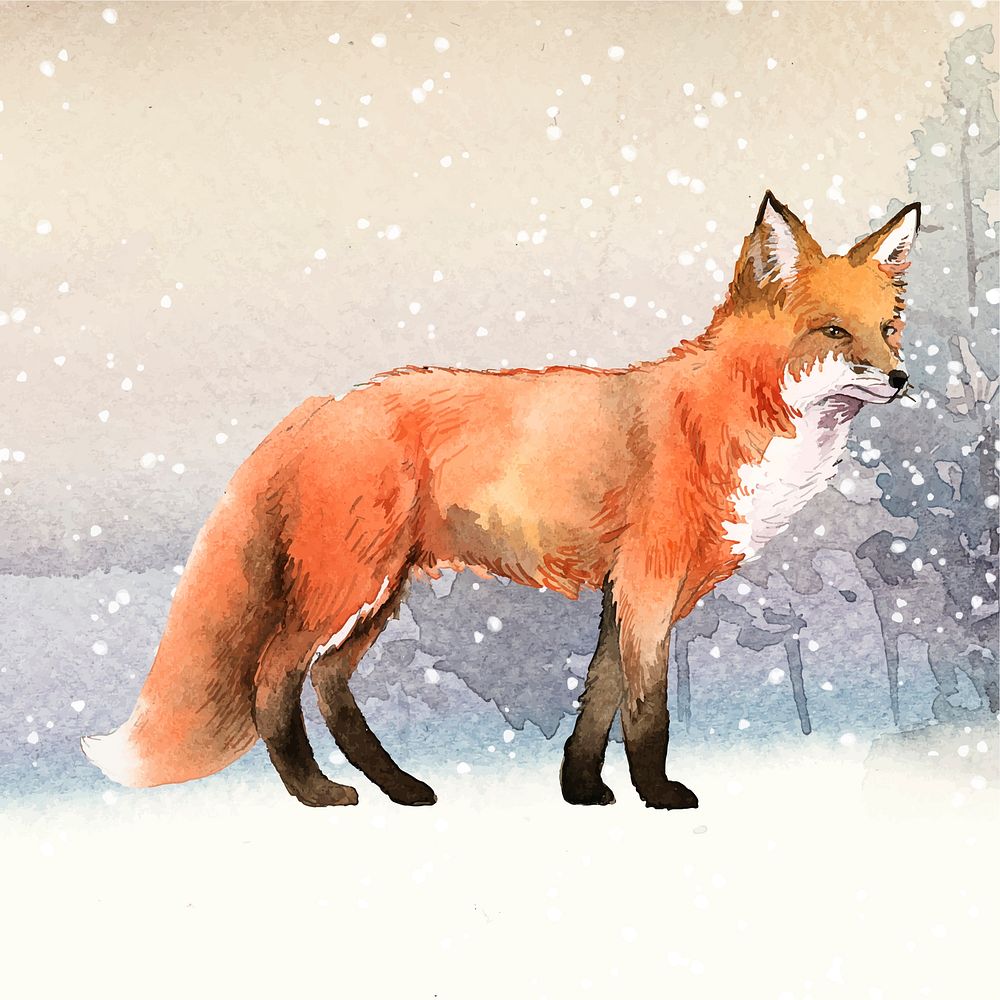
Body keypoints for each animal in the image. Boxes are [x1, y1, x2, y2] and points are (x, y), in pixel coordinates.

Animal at [82, 192, 919, 809]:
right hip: (348, 587)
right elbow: (647, 711)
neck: (727, 417)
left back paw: (398, 788)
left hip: (376, 595)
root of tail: (324, 403)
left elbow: (597, 700)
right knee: (272, 682)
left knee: (329, 683)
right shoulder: (649, 585)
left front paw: (581, 792)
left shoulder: (624, 595)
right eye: (833, 332)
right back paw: (317, 793)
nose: (902, 379)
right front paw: (657, 796)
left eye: (888, 329)